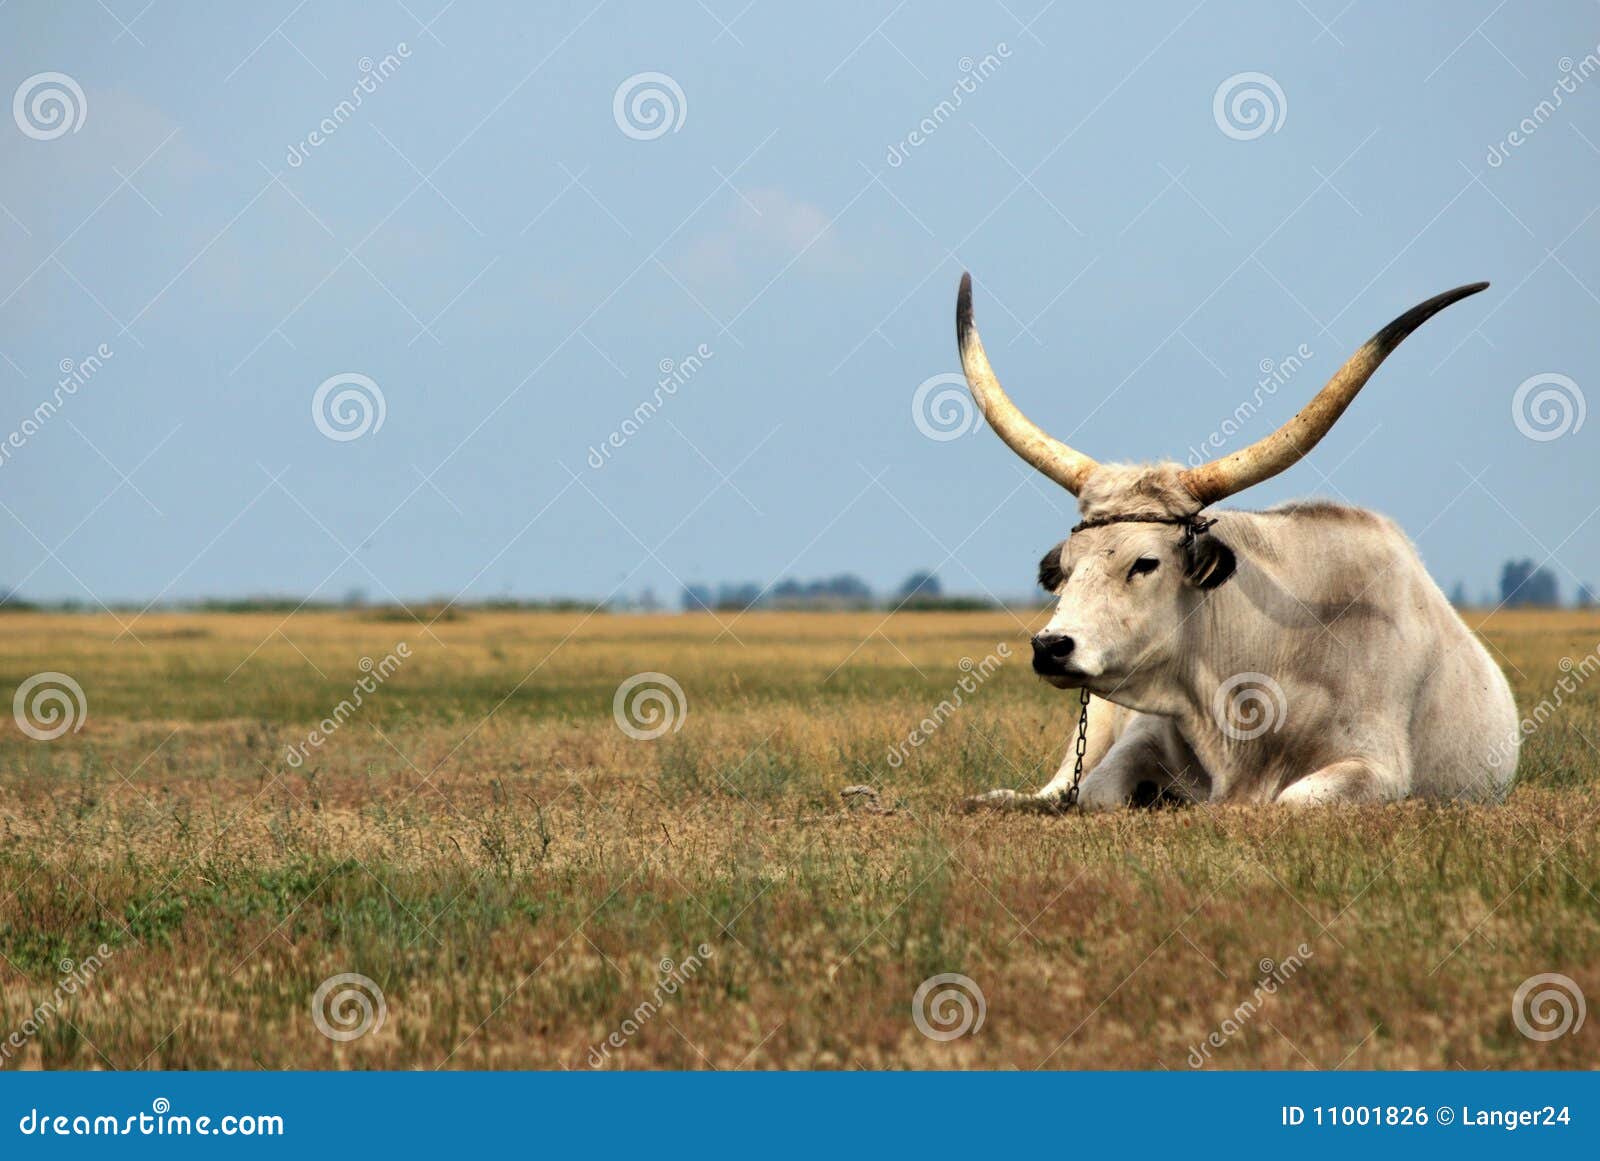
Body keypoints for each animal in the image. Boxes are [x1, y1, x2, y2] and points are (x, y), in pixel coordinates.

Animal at [954, 273, 1519, 810]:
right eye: (1068, 569)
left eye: (1145, 563)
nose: (1051, 647)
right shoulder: (1143, 733)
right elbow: (1095, 791)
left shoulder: (1378, 766)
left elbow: (1295, 799)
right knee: (1060, 786)